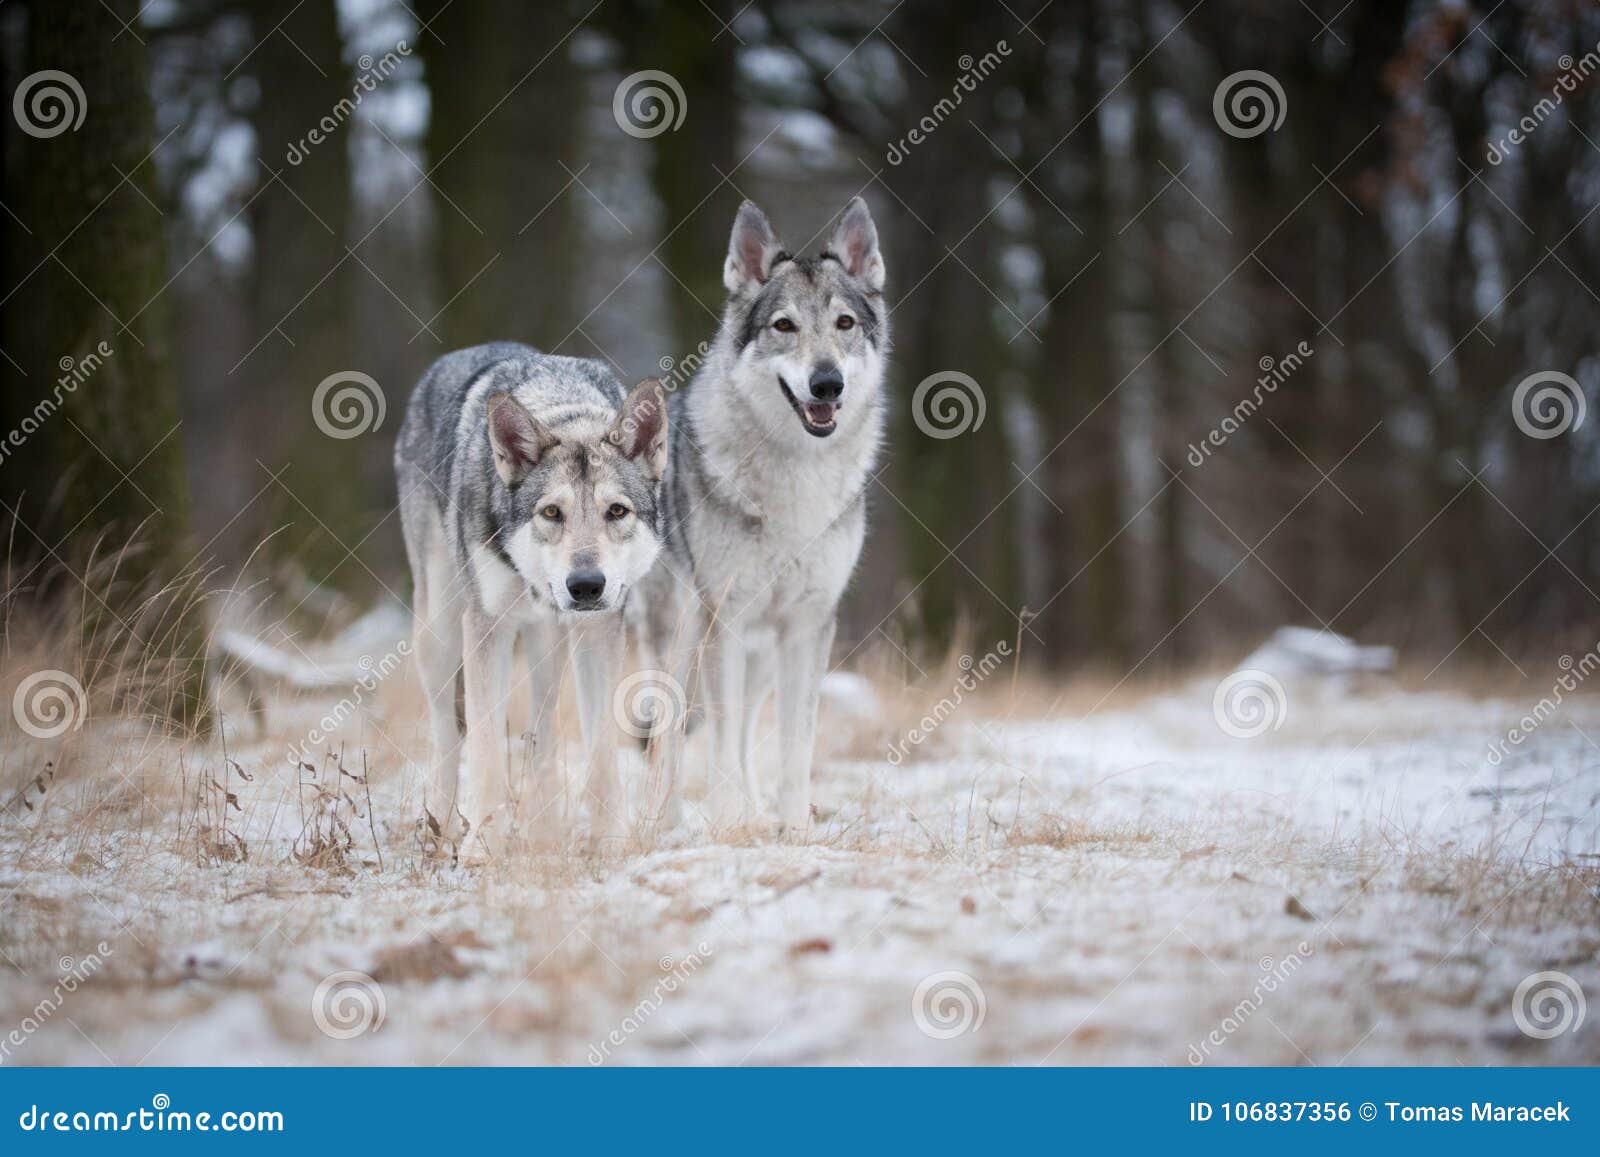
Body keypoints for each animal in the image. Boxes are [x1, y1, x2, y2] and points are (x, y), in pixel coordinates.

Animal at [395, 343, 667, 854]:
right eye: (552, 513)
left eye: (616, 511)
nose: (586, 585)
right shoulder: (487, 629)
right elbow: (484, 746)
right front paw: (482, 849)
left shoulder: (599, 631)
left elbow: (600, 746)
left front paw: (608, 842)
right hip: (439, 633)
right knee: (448, 733)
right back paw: (440, 829)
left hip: (548, 648)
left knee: (543, 735)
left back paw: (546, 835)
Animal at [637, 197, 888, 830]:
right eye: (784, 326)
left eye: (844, 324)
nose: (827, 383)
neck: (797, 471)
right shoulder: (723, 620)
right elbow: (719, 743)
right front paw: (727, 827)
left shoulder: (807, 625)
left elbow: (796, 744)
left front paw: (794, 828)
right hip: (683, 637)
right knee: (668, 736)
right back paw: (663, 821)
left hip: (762, 656)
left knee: (749, 731)